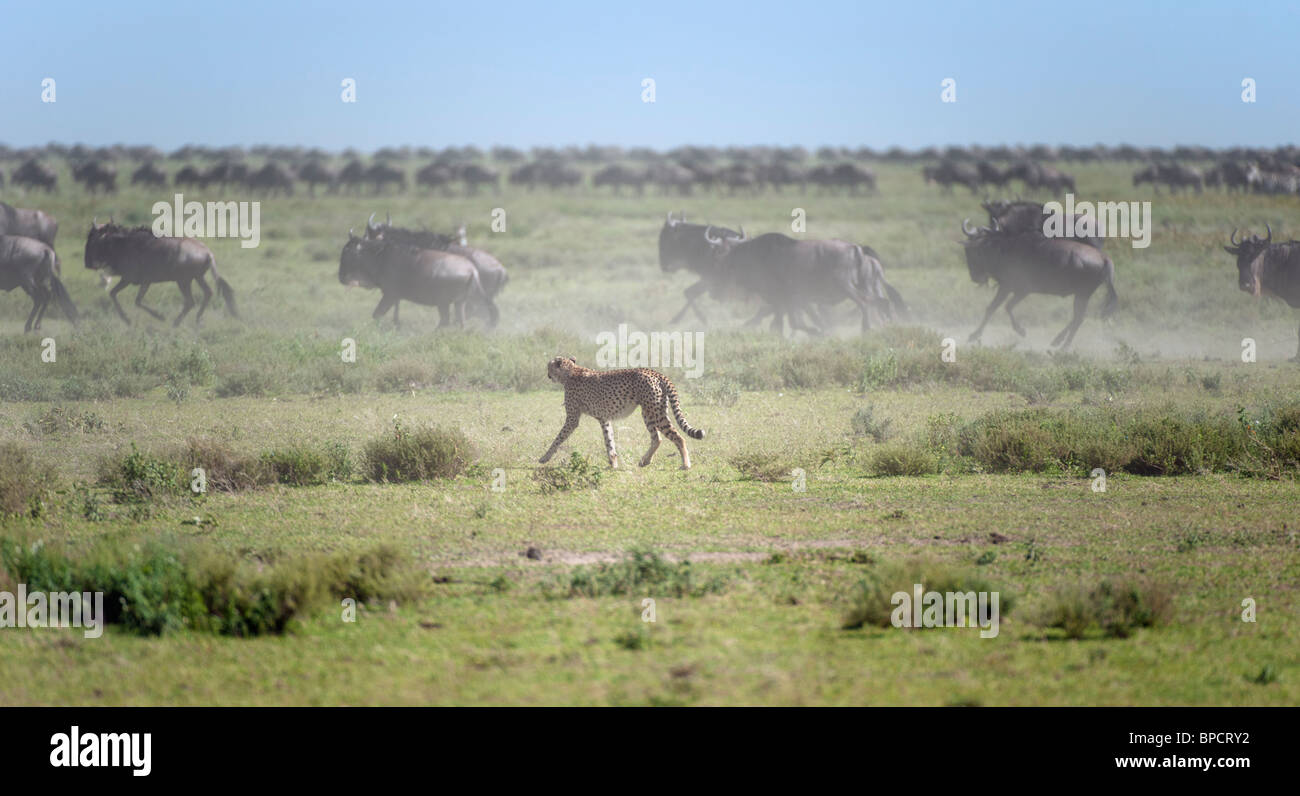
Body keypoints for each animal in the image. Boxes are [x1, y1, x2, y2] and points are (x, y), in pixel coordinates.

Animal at [538, 356, 705, 470]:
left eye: (549, 366)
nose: (547, 374)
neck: (570, 371)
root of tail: (654, 372)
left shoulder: (572, 419)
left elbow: (558, 438)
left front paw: (544, 457)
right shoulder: (604, 418)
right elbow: (609, 441)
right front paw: (613, 463)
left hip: (654, 411)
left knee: (678, 437)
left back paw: (685, 465)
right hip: (649, 412)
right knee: (657, 438)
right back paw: (644, 461)